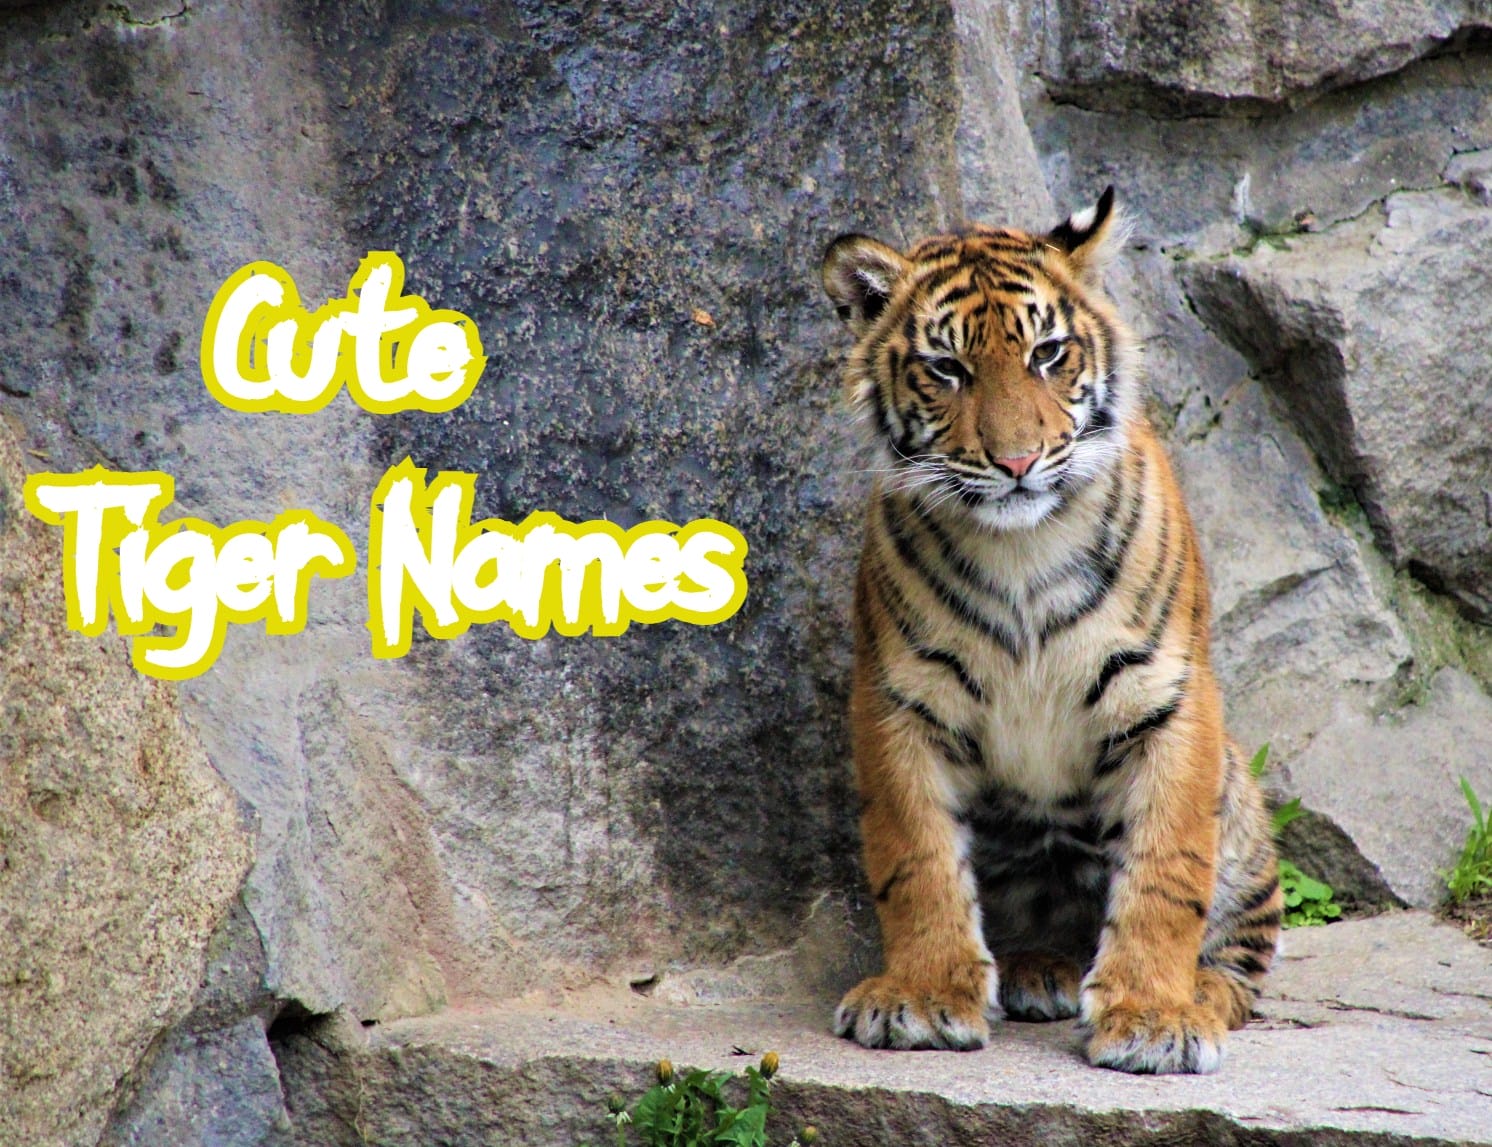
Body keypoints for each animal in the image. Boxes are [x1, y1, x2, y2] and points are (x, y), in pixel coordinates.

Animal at [818, 188, 1282, 1075]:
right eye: (947, 368)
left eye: (1048, 353)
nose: (1017, 462)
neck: (1021, 546)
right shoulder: (898, 701)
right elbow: (915, 857)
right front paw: (923, 994)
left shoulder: (1169, 696)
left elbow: (1168, 868)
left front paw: (1154, 1015)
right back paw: (1041, 968)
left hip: (1241, 801)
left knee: (1242, 960)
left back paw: (1201, 992)